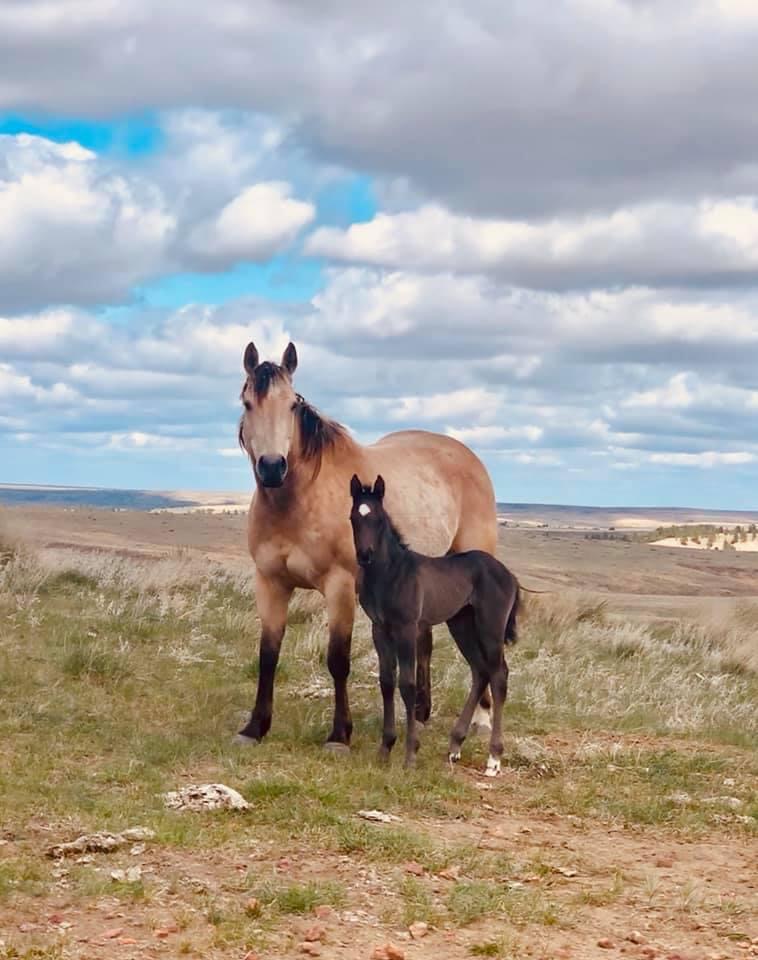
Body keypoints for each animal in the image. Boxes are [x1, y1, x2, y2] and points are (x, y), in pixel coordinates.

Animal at [236, 340, 498, 751]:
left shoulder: (340, 586)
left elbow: (337, 660)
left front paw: (339, 735)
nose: (273, 467)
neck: (300, 499)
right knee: (424, 639)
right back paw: (419, 713)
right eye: (248, 403)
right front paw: (255, 727)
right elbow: (268, 654)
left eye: (292, 404)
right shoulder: (270, 583)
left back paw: (482, 720)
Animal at [350, 474, 519, 774]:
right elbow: (386, 681)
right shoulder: (379, 629)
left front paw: (410, 754)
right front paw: (385, 749)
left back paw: (493, 758)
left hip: (490, 627)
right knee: (480, 672)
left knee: (499, 674)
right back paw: (455, 747)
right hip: (461, 625)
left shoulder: (406, 628)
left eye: (379, 519)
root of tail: (507, 573)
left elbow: (407, 684)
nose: (365, 555)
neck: (390, 574)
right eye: (353, 518)